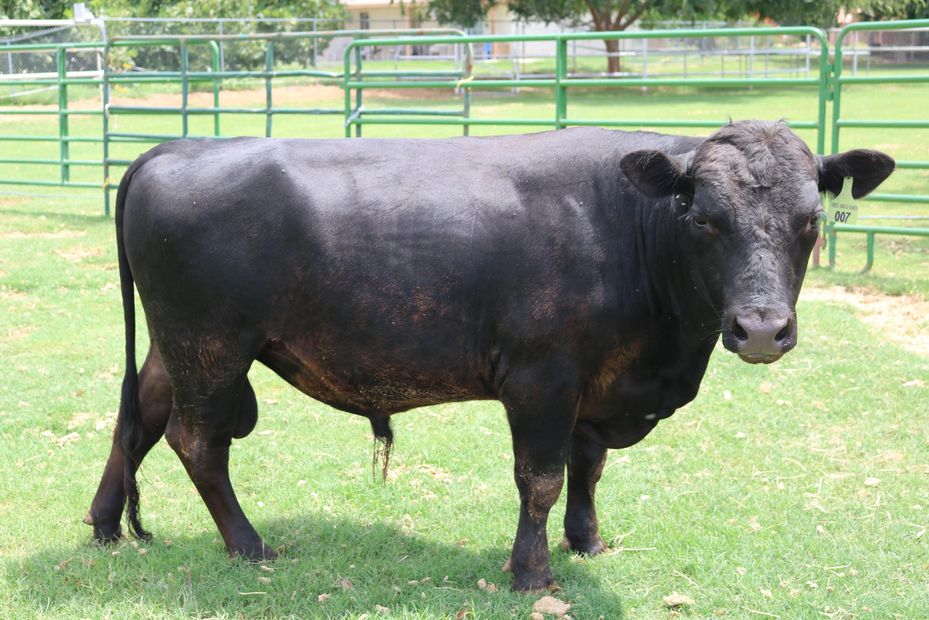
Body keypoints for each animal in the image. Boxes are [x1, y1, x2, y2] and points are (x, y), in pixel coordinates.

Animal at [85, 121, 894, 591]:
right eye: (703, 218)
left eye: (811, 221)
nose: (760, 329)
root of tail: (175, 148)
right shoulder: (542, 377)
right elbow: (540, 478)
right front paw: (530, 572)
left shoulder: (595, 383)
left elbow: (588, 467)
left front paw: (586, 542)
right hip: (212, 345)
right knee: (197, 442)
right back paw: (249, 546)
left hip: (176, 346)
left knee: (137, 420)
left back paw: (103, 526)